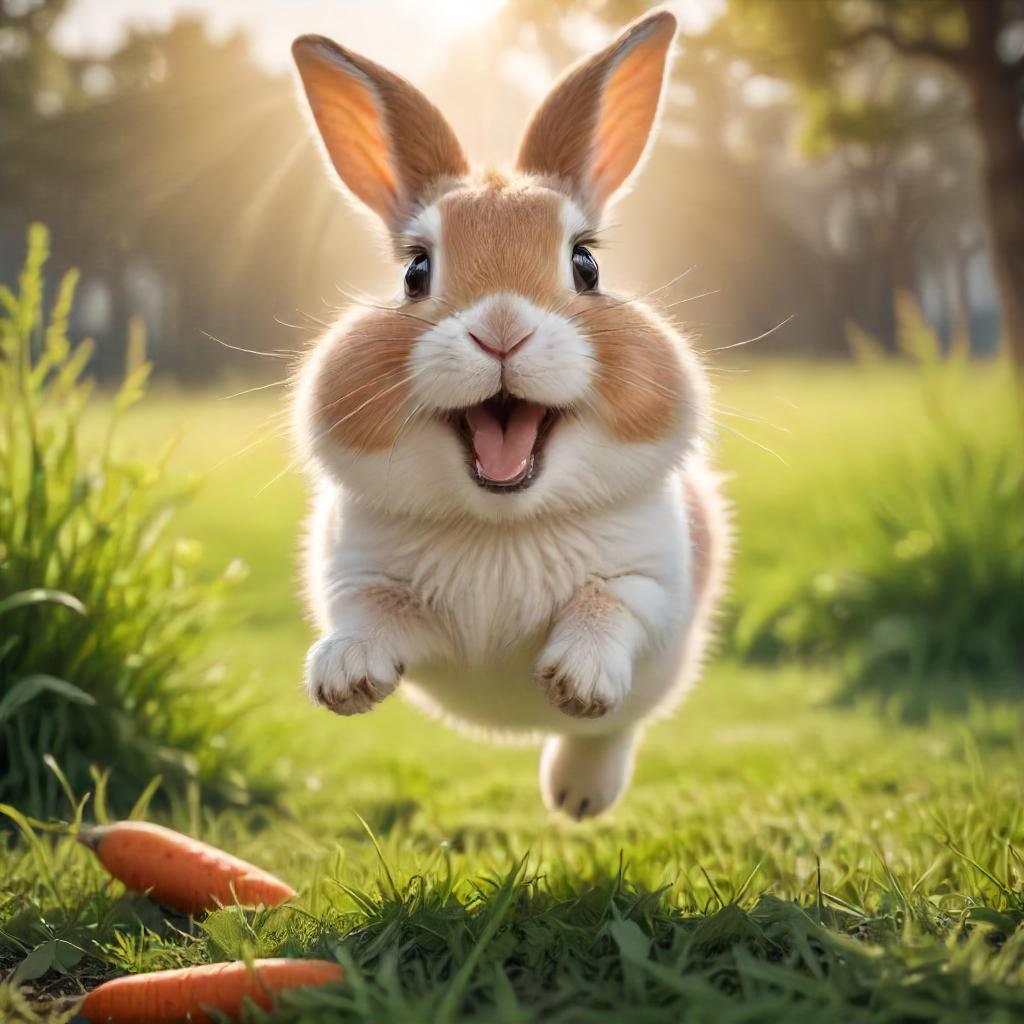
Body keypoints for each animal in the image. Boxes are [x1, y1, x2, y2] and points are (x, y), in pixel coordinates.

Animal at [290, 8, 729, 819]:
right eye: (415, 270)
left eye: (586, 264)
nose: (501, 327)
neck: (502, 525)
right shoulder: (358, 574)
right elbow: (367, 611)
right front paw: (345, 677)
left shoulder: (651, 584)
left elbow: (608, 608)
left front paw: (575, 681)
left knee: (615, 730)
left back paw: (577, 796)